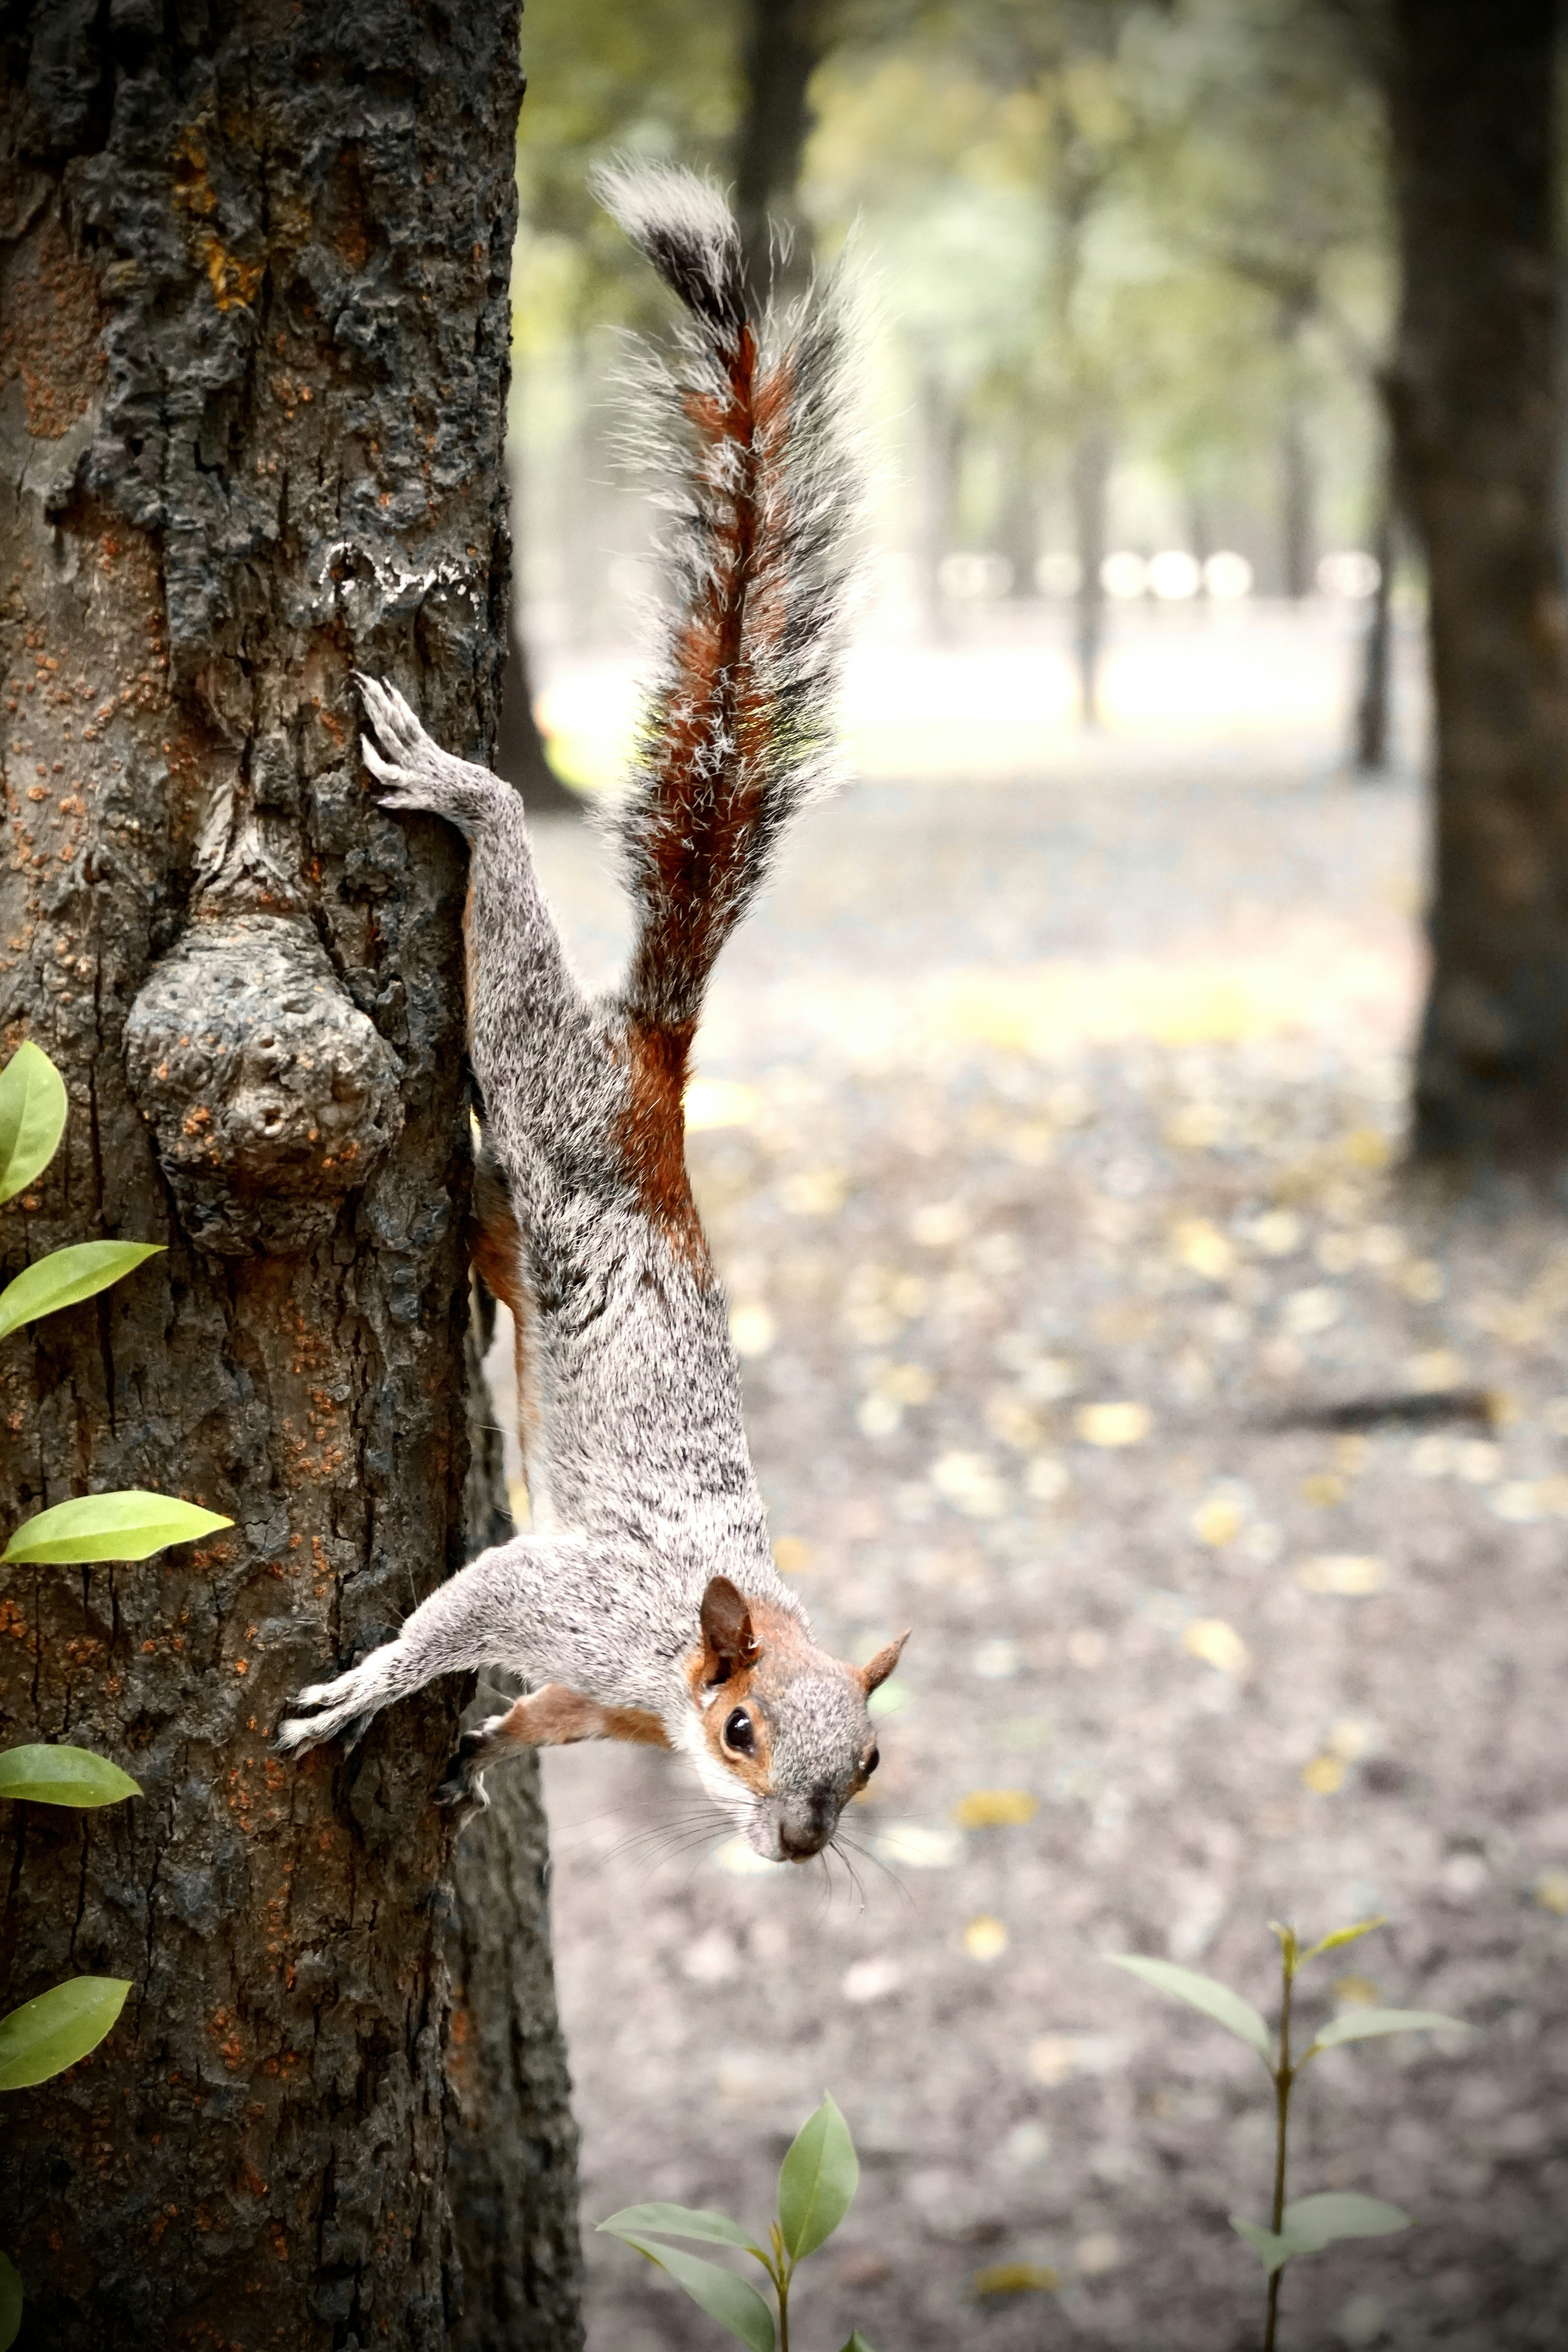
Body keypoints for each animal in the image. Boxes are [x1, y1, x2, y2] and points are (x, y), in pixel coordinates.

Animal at [277, 166, 906, 1865]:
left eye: (870, 1762)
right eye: (746, 1731)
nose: (797, 1846)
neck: (679, 1669)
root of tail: (658, 1071)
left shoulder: (603, 1693)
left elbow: (535, 1715)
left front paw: (483, 1750)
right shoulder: (573, 1600)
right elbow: (461, 1610)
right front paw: (369, 1692)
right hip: (541, 1063)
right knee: (502, 943)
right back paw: (465, 790)